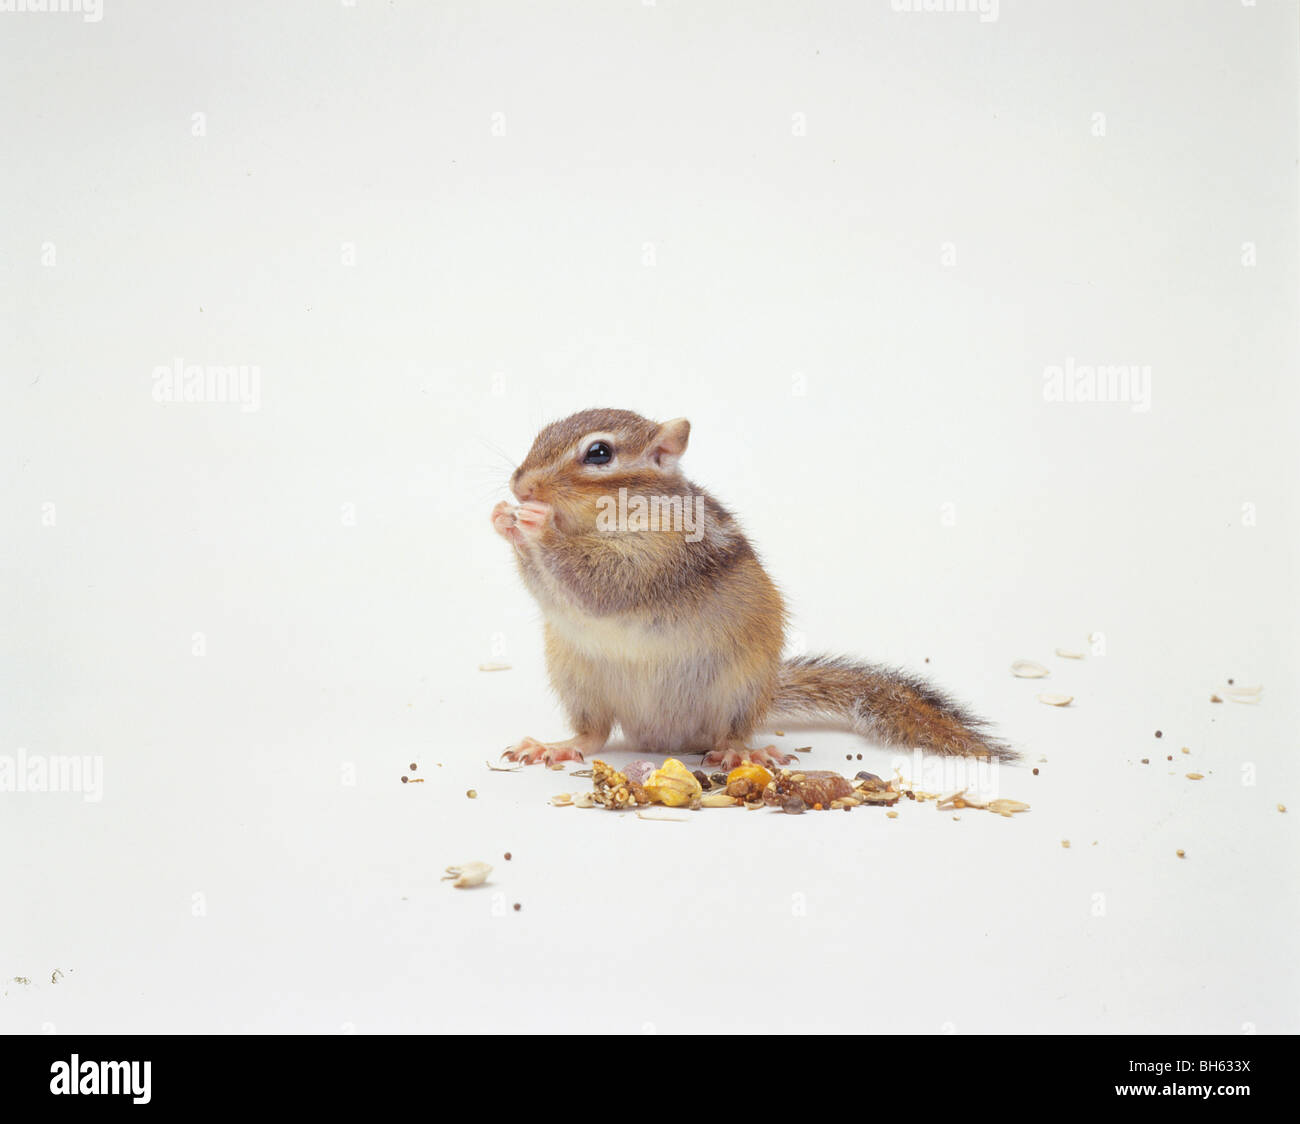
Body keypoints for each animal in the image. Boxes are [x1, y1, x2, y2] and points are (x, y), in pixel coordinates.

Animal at [491, 408, 1014, 770]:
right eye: (542, 434)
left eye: (599, 453)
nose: (520, 486)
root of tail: (663, 739)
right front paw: (504, 518)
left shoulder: (661, 558)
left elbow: (597, 584)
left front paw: (536, 524)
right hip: (579, 683)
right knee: (594, 735)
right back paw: (556, 746)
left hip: (740, 690)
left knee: (730, 734)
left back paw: (742, 755)